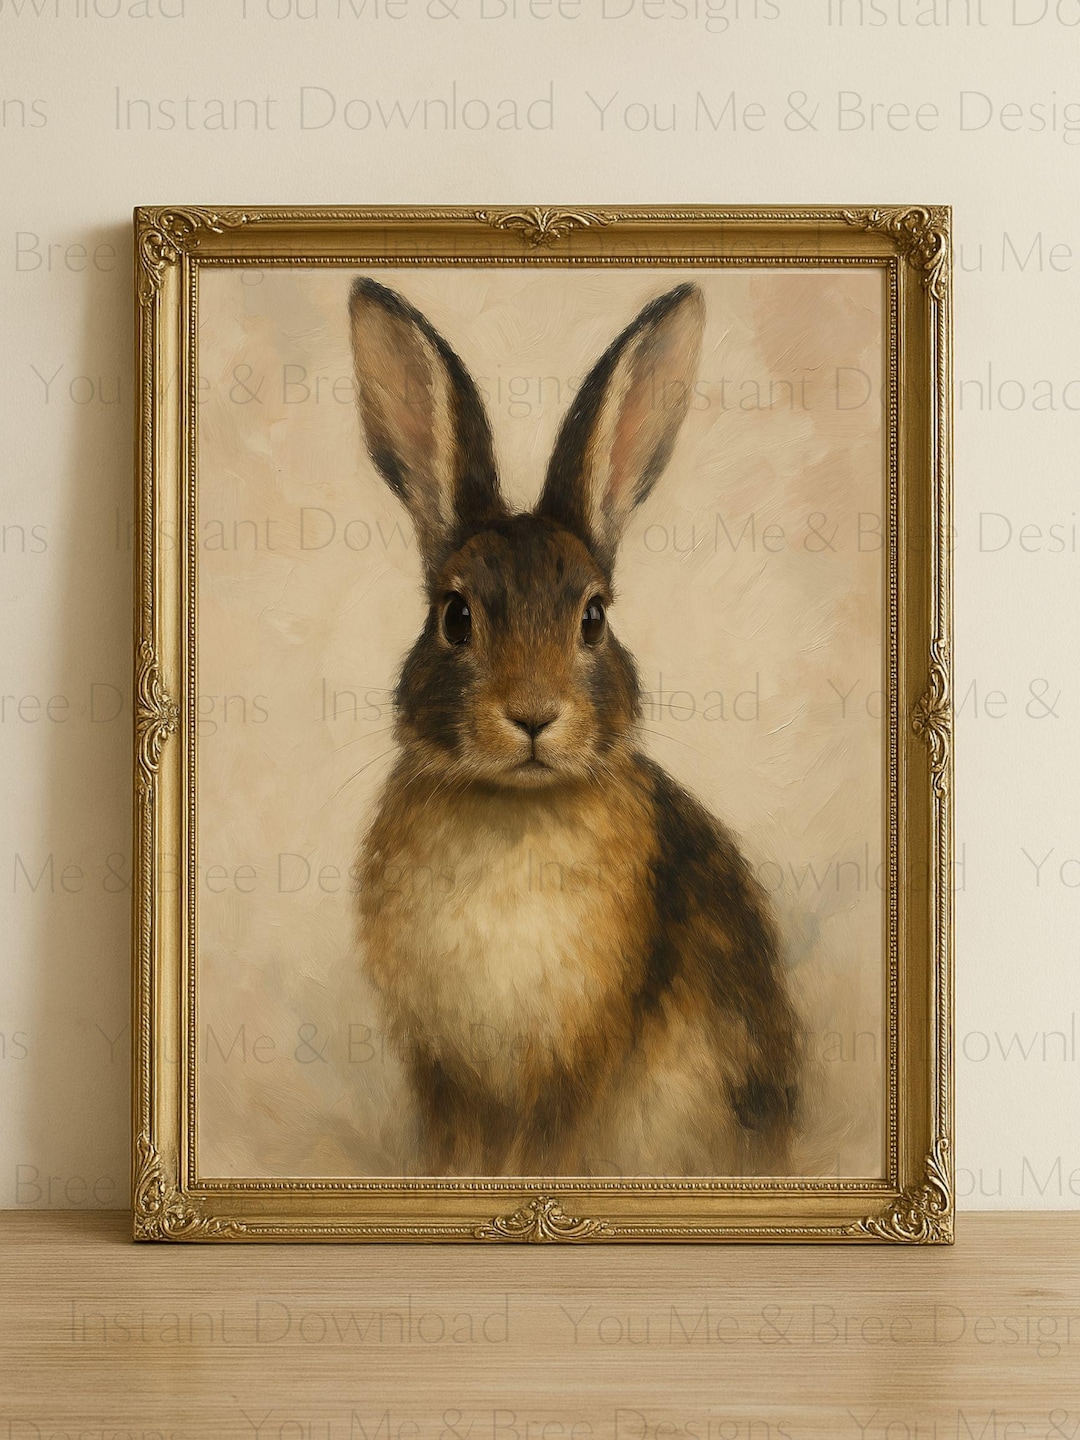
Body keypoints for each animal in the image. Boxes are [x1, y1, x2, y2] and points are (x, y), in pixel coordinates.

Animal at [348, 276, 801, 1178]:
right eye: (454, 617)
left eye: (592, 618)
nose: (532, 715)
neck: (513, 809)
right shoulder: (443, 1068)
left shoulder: (579, 1062)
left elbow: (548, 1150)